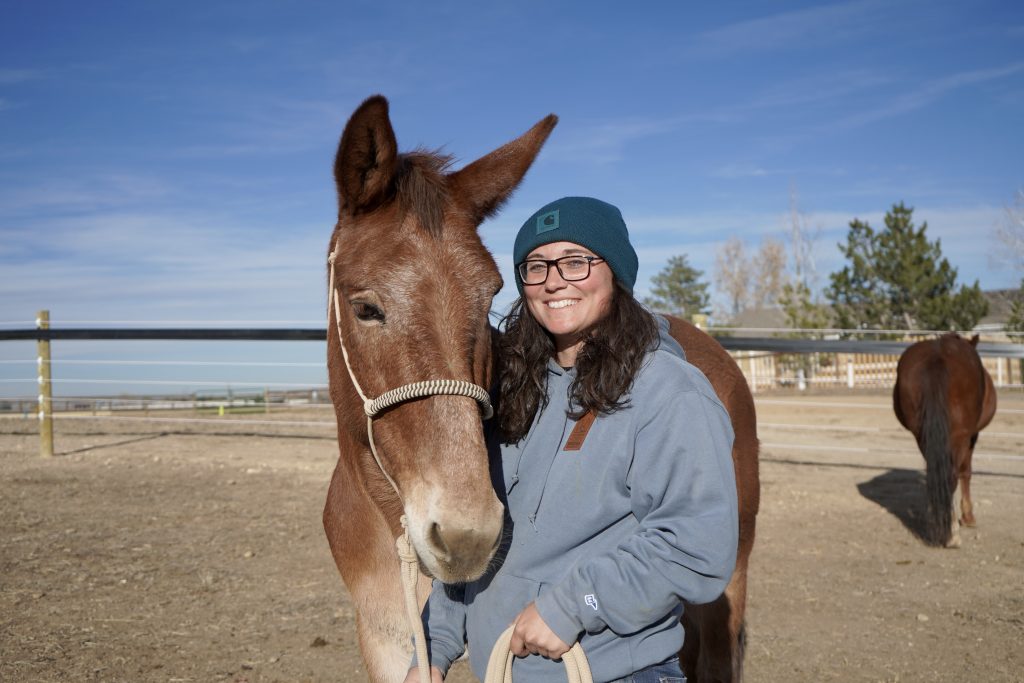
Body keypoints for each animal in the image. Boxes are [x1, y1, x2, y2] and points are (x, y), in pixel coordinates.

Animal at [893, 333, 997, 548]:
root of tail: (937, 356)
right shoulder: (971, 436)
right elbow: (966, 472)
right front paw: (968, 517)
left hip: (923, 435)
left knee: (936, 474)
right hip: (959, 437)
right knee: (951, 476)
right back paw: (952, 534)